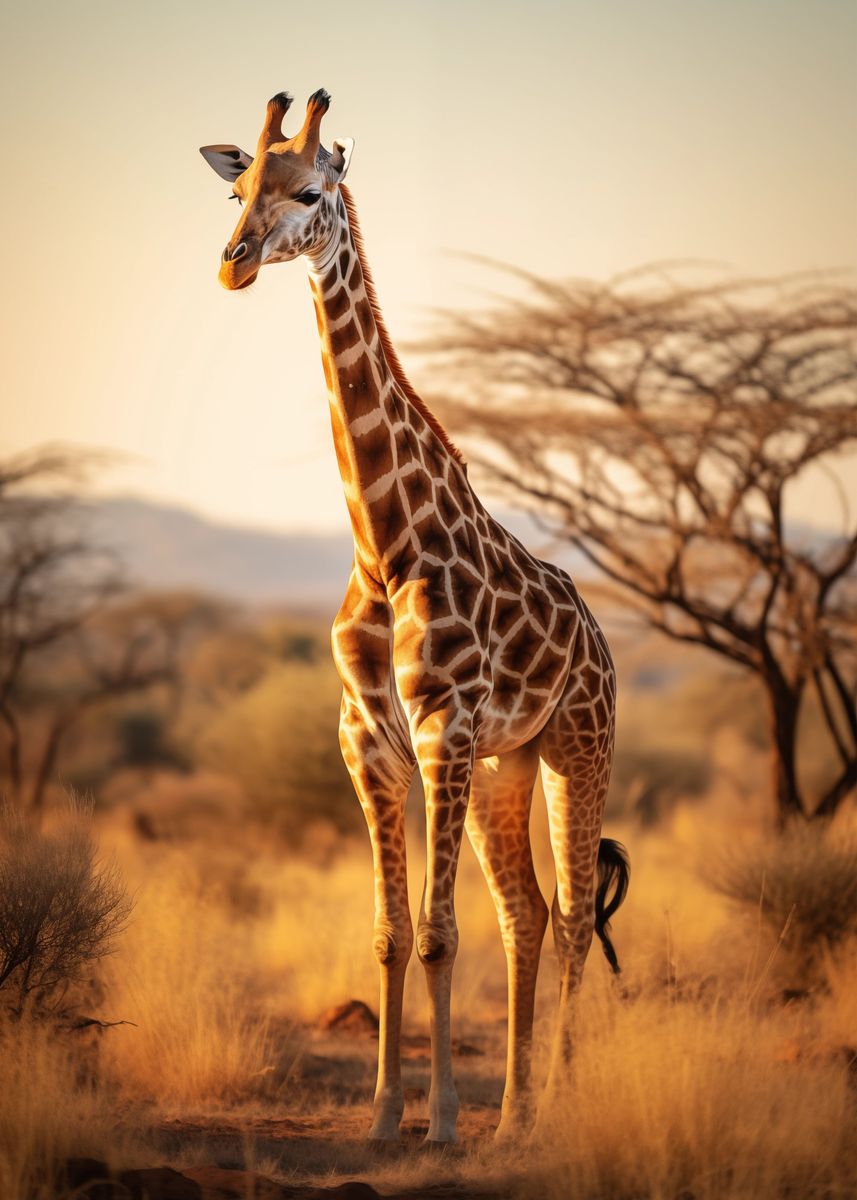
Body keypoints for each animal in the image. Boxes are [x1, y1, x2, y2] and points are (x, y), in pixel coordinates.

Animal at [200, 88, 629, 1145]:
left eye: (309, 192)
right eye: (237, 186)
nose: (233, 261)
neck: (384, 547)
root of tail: (601, 642)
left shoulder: (442, 729)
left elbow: (438, 935)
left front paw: (436, 1122)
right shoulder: (369, 743)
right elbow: (391, 934)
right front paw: (385, 1114)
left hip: (576, 746)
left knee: (568, 915)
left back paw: (550, 1109)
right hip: (506, 765)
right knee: (525, 914)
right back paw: (513, 1113)